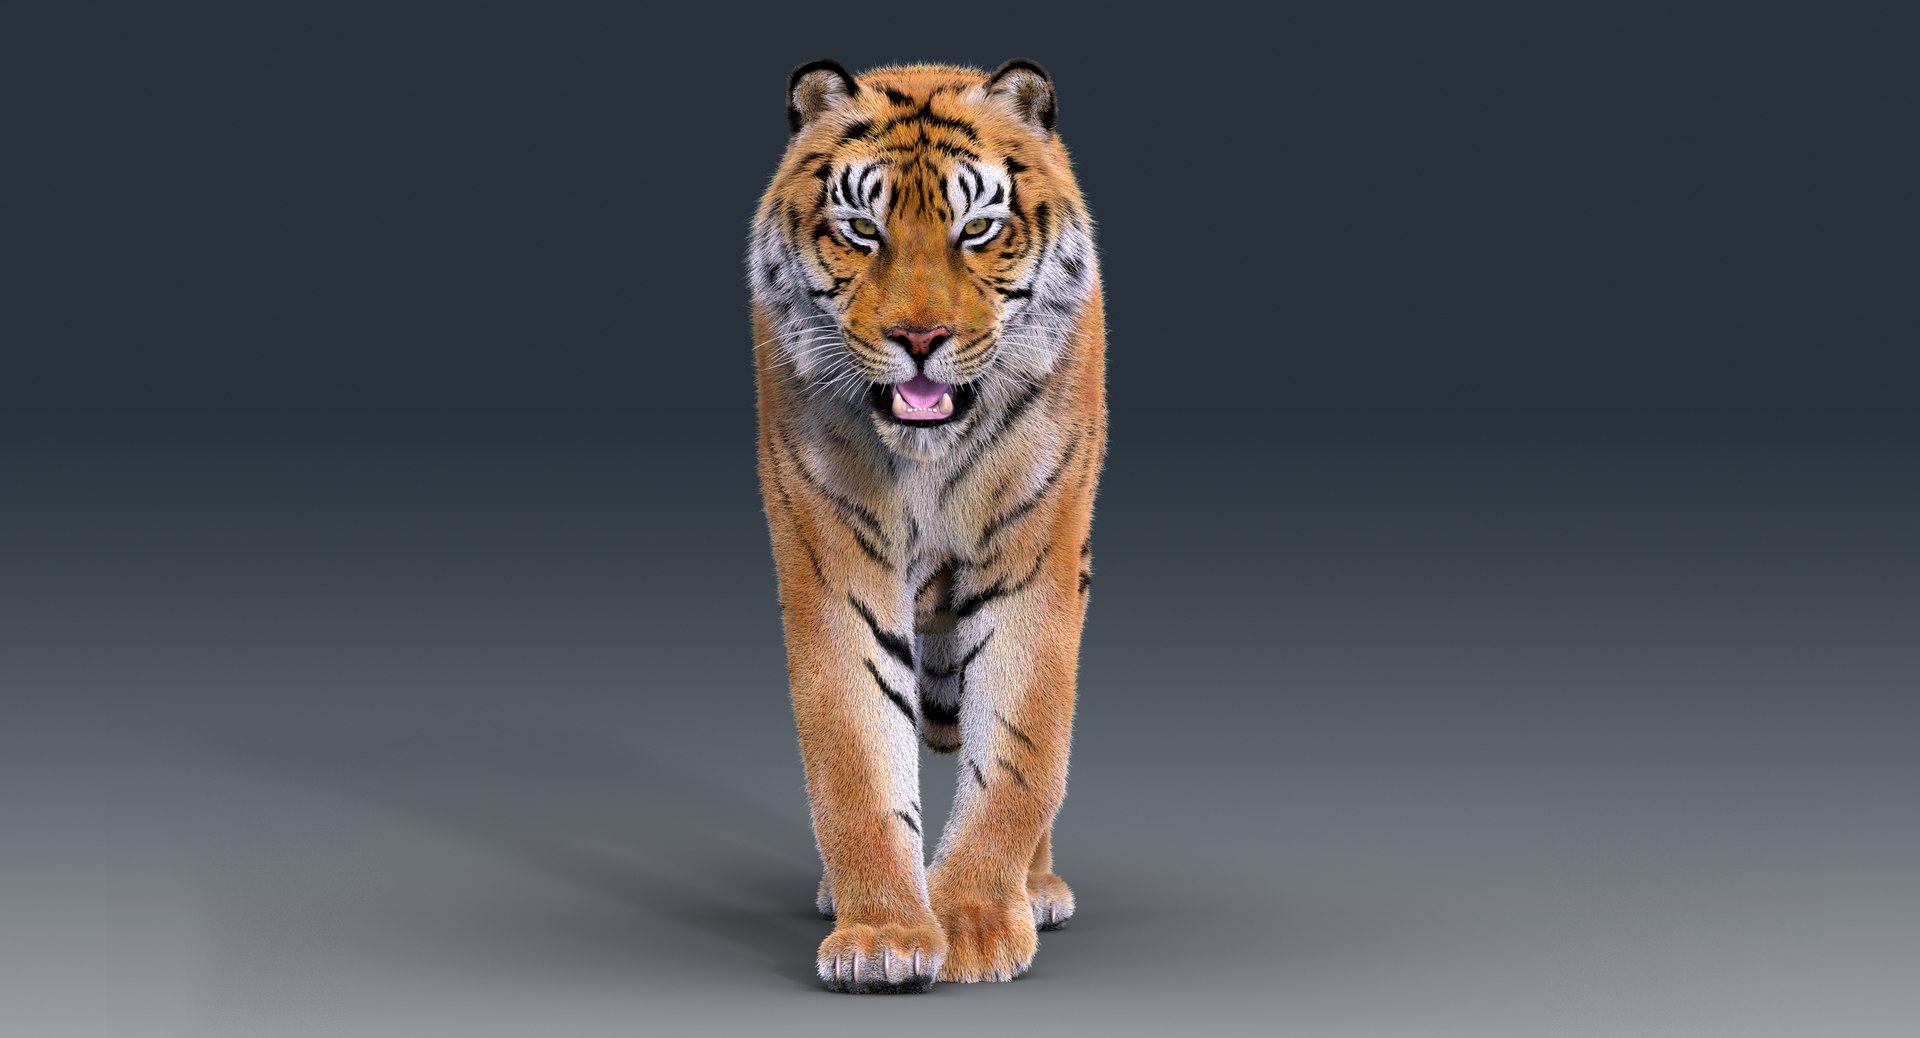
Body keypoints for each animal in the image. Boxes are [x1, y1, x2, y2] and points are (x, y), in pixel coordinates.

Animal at [748, 58, 1105, 993]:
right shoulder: (835, 566)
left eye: (977, 227)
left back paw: (1037, 890)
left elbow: (1020, 753)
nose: (920, 337)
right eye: (861, 229)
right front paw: (884, 935)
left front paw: (976, 922)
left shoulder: (1035, 568)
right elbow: (858, 763)